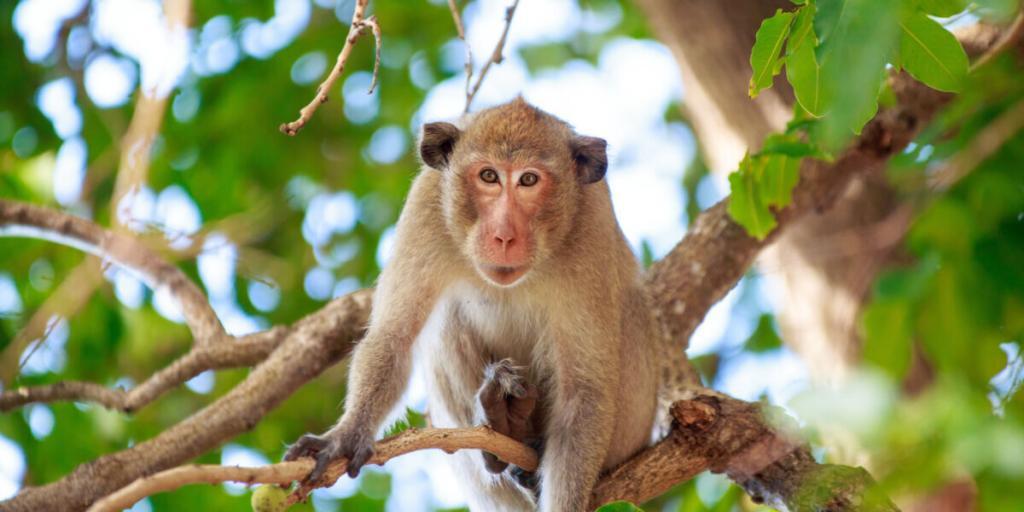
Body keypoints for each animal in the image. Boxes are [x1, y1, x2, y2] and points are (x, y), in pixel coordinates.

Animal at [285, 98, 697, 511]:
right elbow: (393, 336)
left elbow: (584, 390)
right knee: (445, 323)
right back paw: (503, 428)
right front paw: (346, 435)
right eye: (488, 176)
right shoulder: (426, 204)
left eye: (528, 180)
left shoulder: (591, 224)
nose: (503, 236)